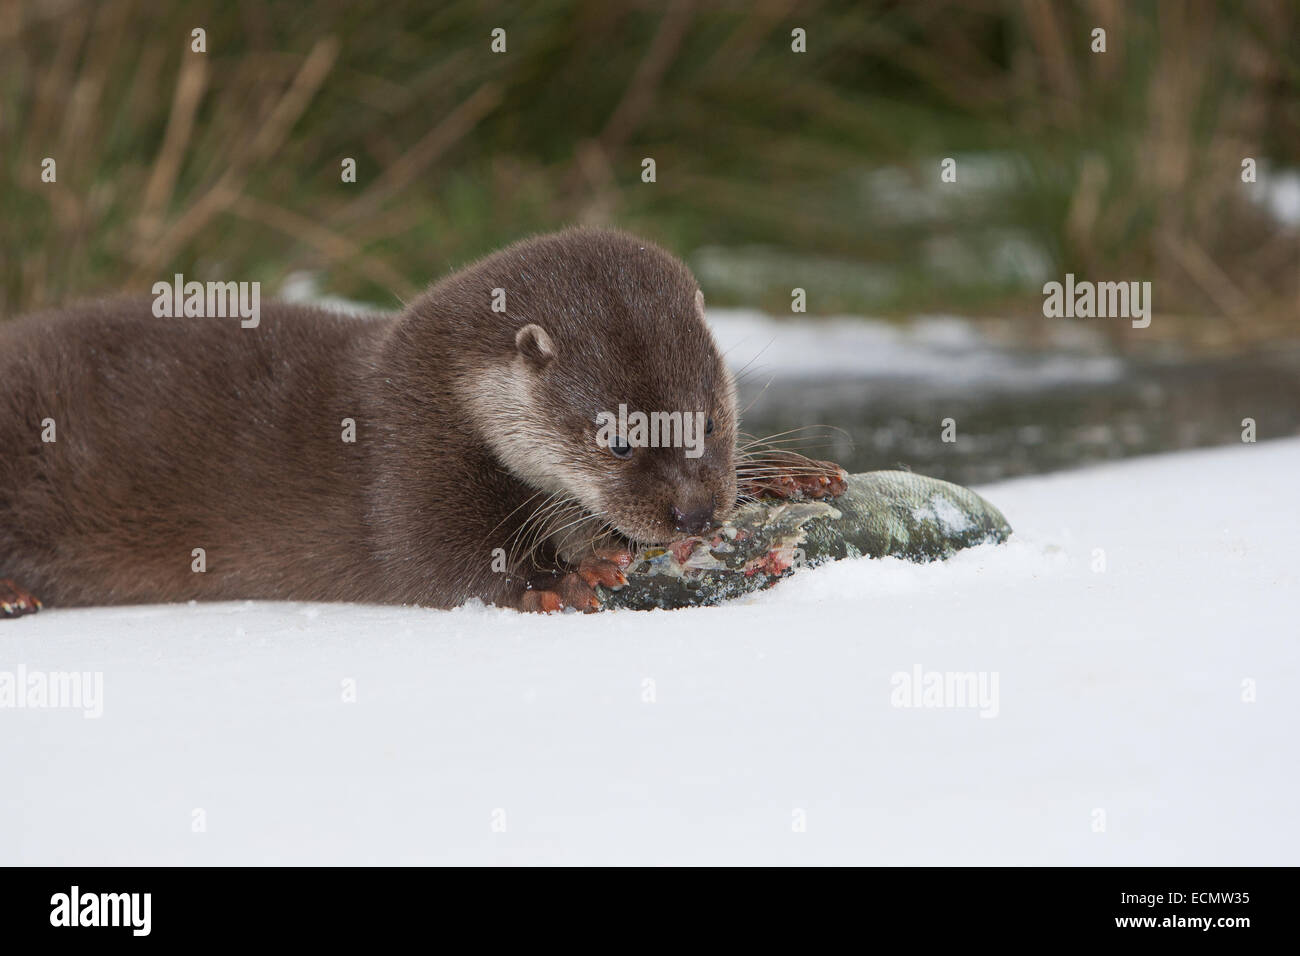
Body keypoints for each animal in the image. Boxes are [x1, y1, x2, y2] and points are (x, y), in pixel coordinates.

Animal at [0, 228, 842, 618]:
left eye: (710, 419)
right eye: (618, 439)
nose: (695, 513)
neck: (431, 392)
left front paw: (782, 475)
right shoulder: (402, 467)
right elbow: (433, 563)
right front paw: (558, 579)